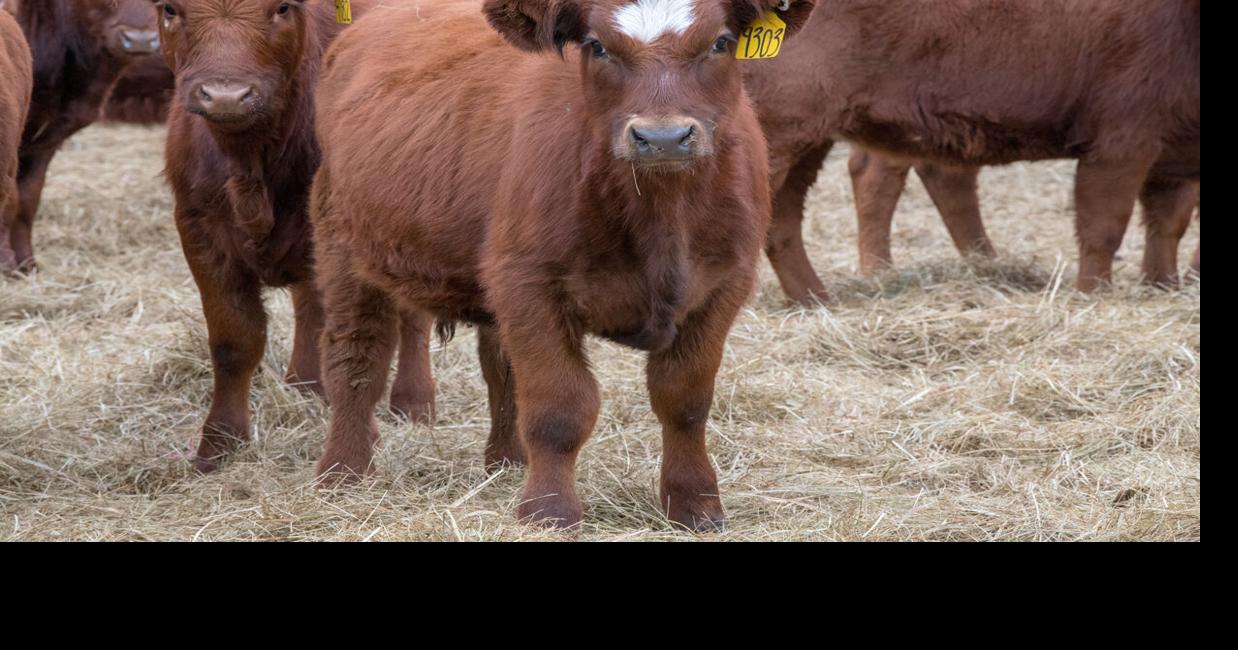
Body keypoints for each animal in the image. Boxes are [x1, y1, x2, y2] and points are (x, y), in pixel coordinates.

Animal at [2, 0, 161, 274]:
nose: (139, 40)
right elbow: (11, 200)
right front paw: (9, 267)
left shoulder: (42, 145)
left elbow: (27, 200)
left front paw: (27, 264)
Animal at [157, 0, 436, 474]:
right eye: (170, 9)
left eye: (283, 7)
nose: (227, 95)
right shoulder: (198, 229)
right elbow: (234, 340)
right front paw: (219, 444)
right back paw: (304, 385)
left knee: (412, 318)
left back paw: (414, 401)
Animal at [310, 0, 819, 530]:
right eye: (596, 46)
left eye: (721, 41)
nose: (662, 137)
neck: (662, 213)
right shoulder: (531, 286)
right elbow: (559, 407)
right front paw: (549, 508)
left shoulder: (723, 287)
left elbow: (685, 402)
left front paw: (695, 504)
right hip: (342, 249)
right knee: (356, 361)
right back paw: (344, 472)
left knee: (501, 370)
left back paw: (508, 462)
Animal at [742, 0, 1200, 304]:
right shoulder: (1119, 142)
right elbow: (1104, 227)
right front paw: (1093, 295)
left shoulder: (1172, 160)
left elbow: (1168, 225)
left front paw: (1162, 284)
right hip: (786, 130)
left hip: (812, 139)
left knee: (784, 220)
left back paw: (816, 299)